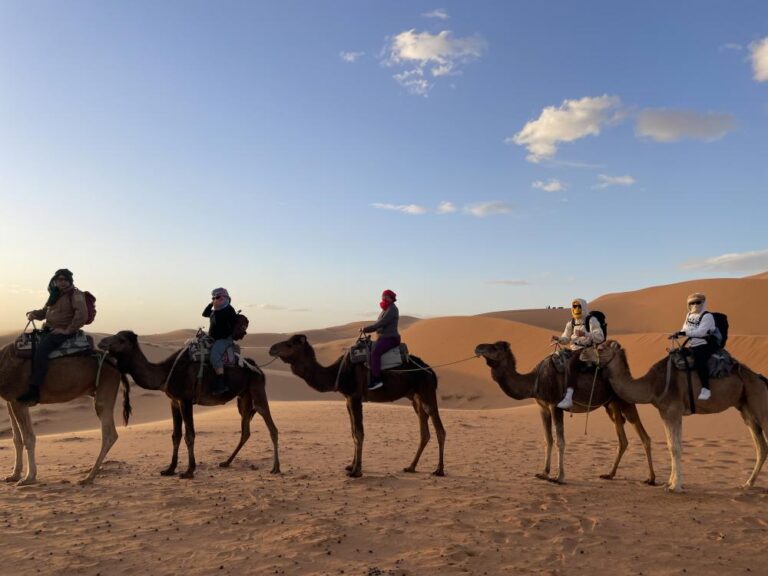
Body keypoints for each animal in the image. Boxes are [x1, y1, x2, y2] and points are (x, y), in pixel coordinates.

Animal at [0, 343, 131, 485]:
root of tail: (115, 363)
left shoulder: (19, 401)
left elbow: (28, 438)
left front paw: (29, 478)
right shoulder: (12, 401)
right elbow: (16, 438)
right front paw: (14, 475)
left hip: (106, 386)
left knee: (109, 433)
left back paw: (88, 477)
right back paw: (89, 476)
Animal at [98, 331, 279, 478]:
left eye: (121, 339)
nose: (101, 342)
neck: (165, 373)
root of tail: (258, 368)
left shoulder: (185, 400)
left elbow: (189, 435)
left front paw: (189, 471)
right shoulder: (174, 401)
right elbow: (176, 435)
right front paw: (169, 469)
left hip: (257, 389)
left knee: (270, 425)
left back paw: (276, 468)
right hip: (243, 398)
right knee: (245, 430)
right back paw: (226, 462)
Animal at [268, 334, 446, 477]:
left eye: (290, 344)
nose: (271, 349)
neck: (337, 373)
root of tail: (431, 371)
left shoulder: (355, 397)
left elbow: (359, 433)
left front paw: (356, 472)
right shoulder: (348, 400)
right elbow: (353, 432)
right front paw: (350, 466)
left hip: (427, 391)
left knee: (439, 429)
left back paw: (439, 470)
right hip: (415, 397)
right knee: (424, 431)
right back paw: (411, 467)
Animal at [474, 341, 655, 485]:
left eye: (495, 347)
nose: (477, 347)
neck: (534, 381)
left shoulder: (555, 406)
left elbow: (560, 441)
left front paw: (559, 477)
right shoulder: (543, 408)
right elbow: (548, 439)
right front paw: (544, 473)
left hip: (624, 401)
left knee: (644, 435)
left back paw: (651, 479)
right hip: (611, 405)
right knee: (622, 439)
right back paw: (609, 474)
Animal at [600, 340, 768, 492]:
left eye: (600, 348)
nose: (589, 357)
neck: (653, 385)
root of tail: (761, 379)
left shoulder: (674, 410)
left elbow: (675, 447)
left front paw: (675, 486)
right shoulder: (665, 412)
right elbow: (671, 445)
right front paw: (668, 483)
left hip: (759, 402)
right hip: (746, 409)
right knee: (761, 447)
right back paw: (747, 484)